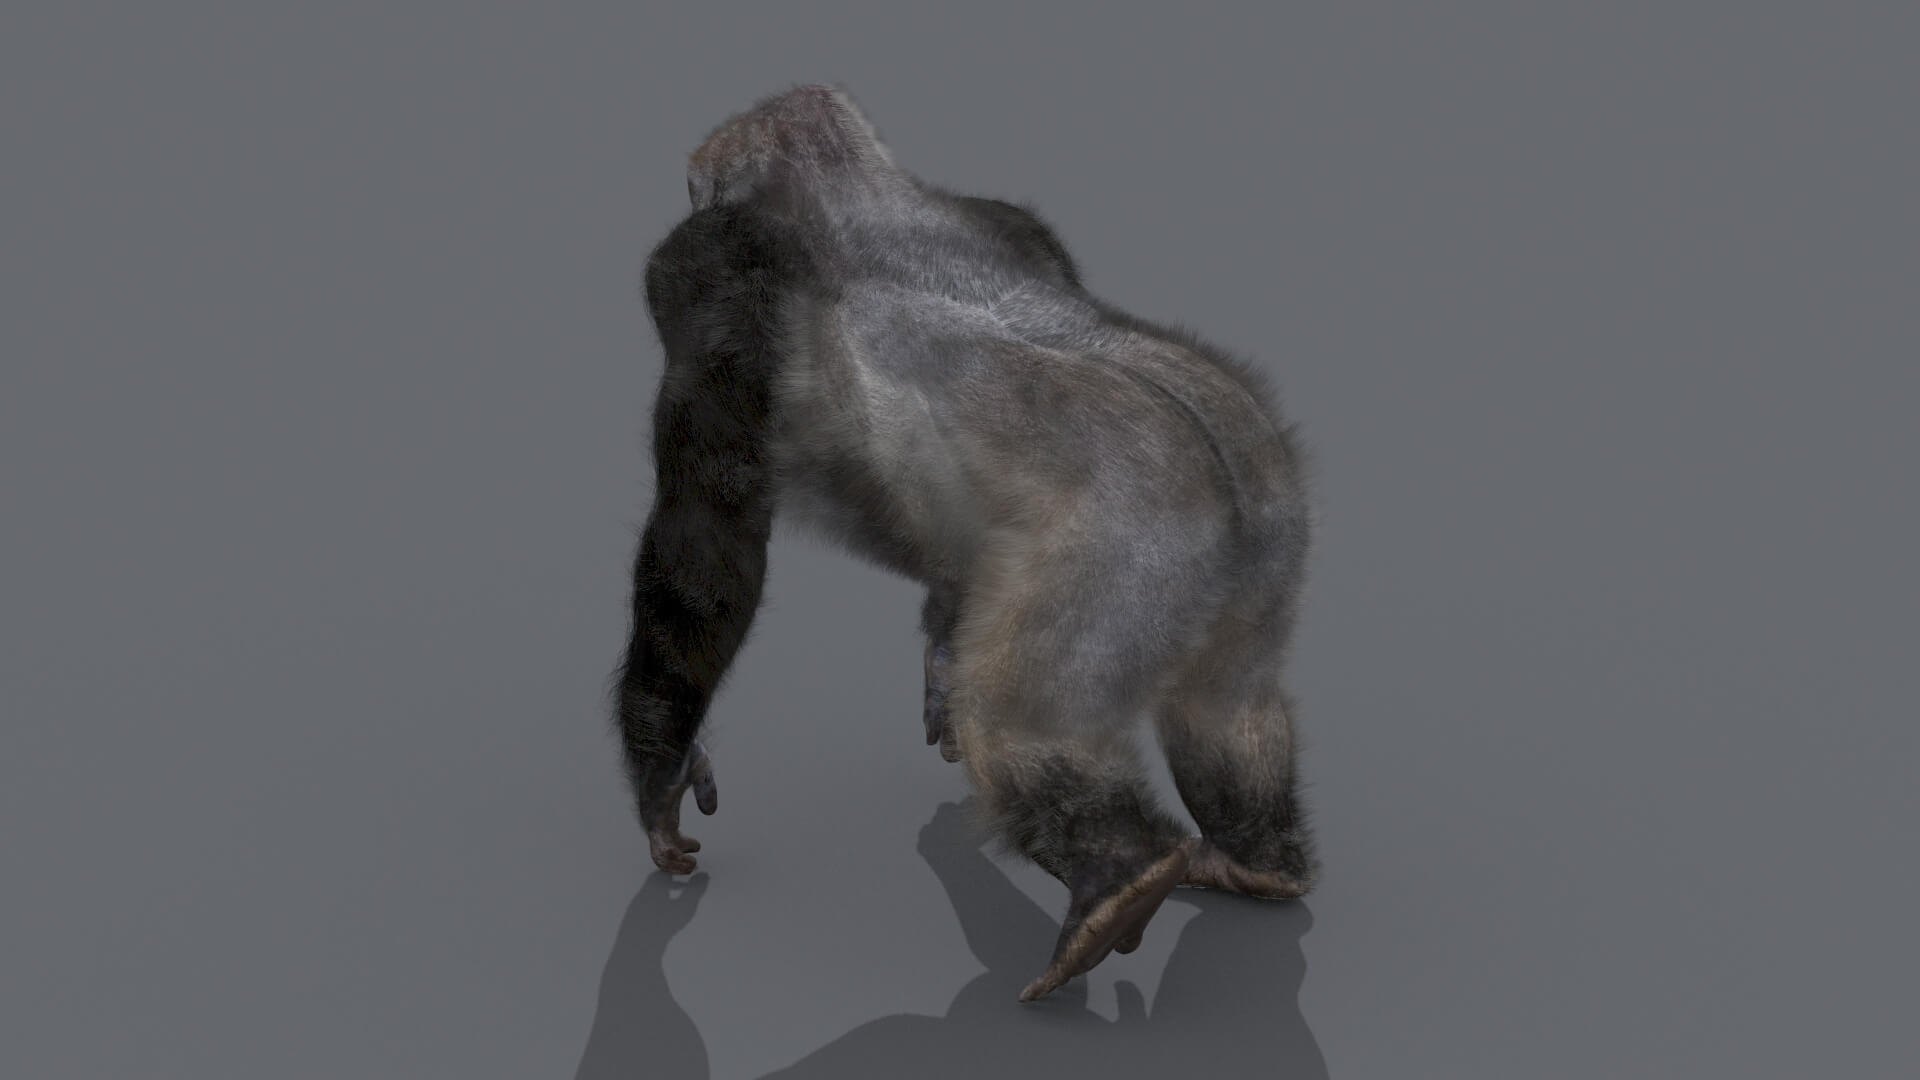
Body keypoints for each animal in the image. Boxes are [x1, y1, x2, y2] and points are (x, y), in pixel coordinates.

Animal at [614, 85, 1318, 1003]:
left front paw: (658, 773)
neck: (848, 176)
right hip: (1267, 544)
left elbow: (703, 542)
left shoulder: (704, 270)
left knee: (1018, 721)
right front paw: (939, 665)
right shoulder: (1018, 221)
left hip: (1131, 554)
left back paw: (1116, 887)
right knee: (1228, 710)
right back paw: (1251, 862)